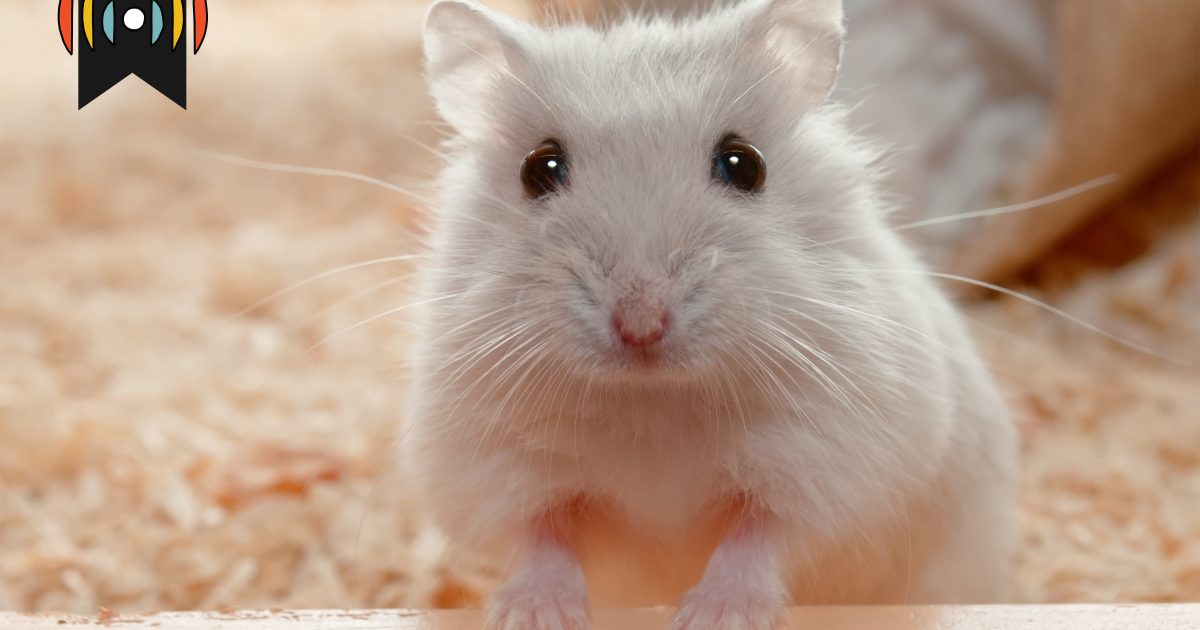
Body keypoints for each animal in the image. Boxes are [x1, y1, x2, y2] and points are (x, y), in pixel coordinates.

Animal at [403, 0, 1018, 628]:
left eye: (744, 165)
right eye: (539, 169)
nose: (641, 325)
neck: (654, 401)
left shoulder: (829, 461)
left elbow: (759, 536)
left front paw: (715, 615)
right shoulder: (492, 465)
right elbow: (540, 537)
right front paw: (533, 614)